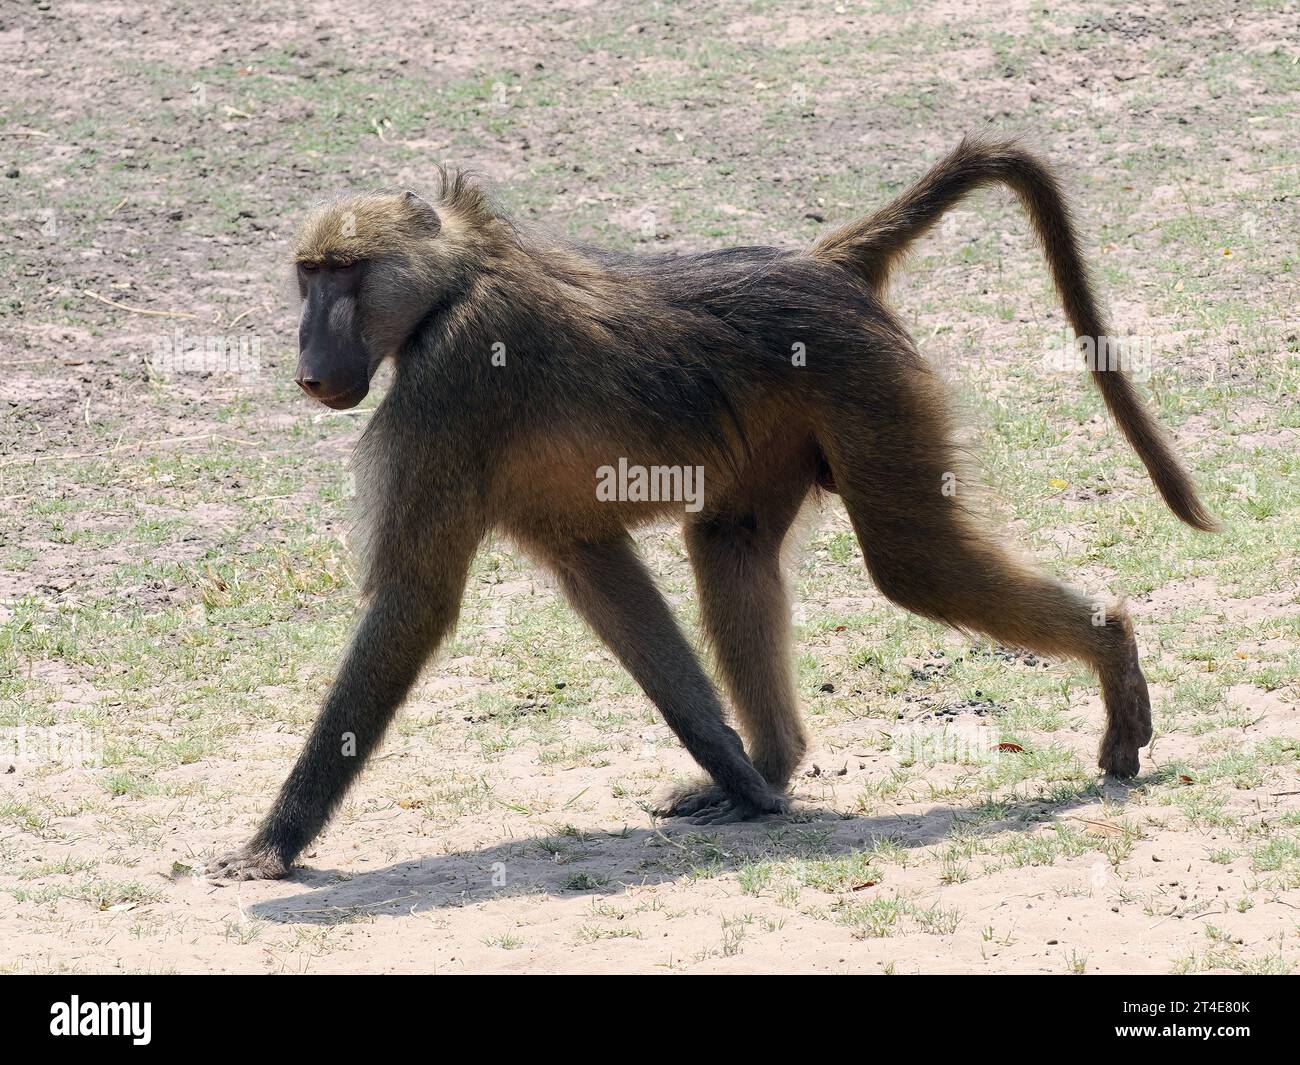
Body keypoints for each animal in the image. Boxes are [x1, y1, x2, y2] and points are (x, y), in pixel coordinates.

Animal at [209, 135, 1216, 880]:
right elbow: (608, 585)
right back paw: (766, 767)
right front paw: (740, 777)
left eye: (344, 274)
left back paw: (1116, 653)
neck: (451, 281)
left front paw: (269, 846)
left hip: (870, 390)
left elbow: (414, 599)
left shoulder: (450, 387)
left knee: (911, 563)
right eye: (307, 275)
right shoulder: (553, 514)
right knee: (727, 542)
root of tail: (826, 266)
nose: (309, 369)